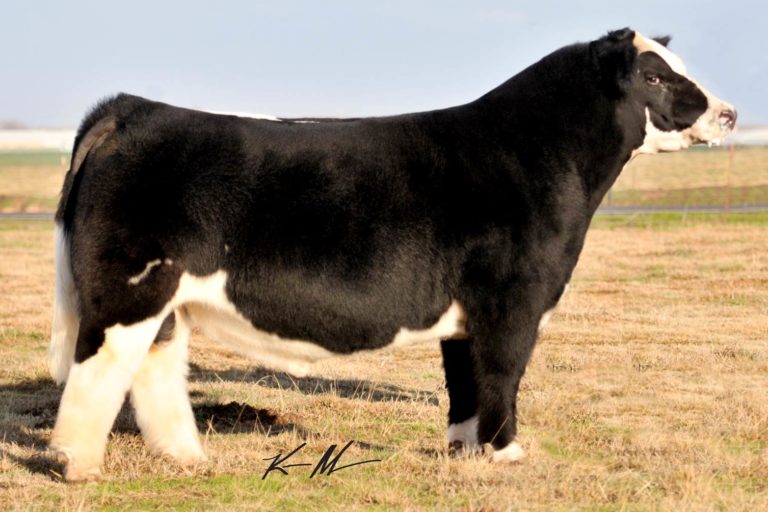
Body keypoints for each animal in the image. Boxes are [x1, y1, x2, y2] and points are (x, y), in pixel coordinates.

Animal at [47, 28, 735, 481]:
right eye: (653, 75)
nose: (728, 113)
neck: (538, 154)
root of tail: (132, 109)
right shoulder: (512, 301)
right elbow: (503, 374)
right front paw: (507, 455)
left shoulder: (465, 316)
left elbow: (466, 383)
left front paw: (465, 454)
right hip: (129, 288)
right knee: (98, 370)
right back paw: (77, 465)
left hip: (165, 299)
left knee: (154, 368)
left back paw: (186, 457)